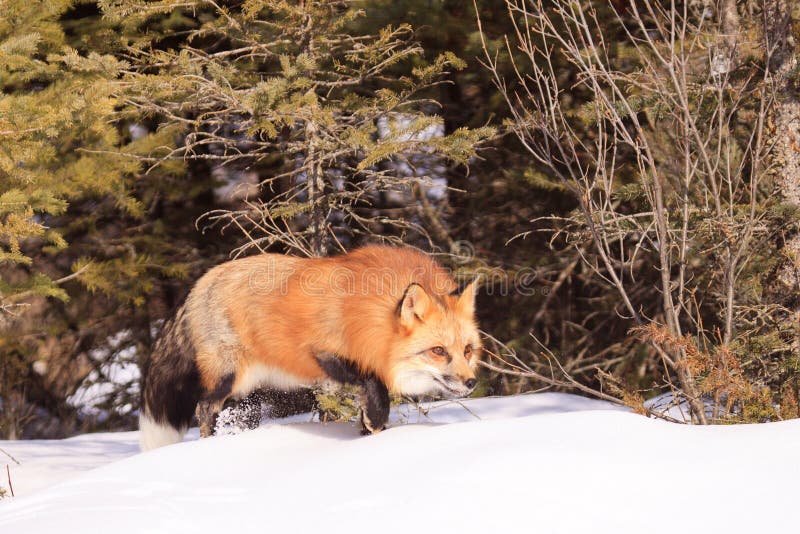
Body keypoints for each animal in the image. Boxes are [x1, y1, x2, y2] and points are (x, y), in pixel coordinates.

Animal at [139, 245, 481, 450]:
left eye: (467, 350)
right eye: (438, 351)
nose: (471, 382)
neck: (370, 315)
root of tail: (201, 282)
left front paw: (367, 434)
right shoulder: (321, 351)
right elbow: (373, 385)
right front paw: (376, 423)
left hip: (247, 392)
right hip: (228, 377)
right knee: (204, 408)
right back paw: (209, 445)